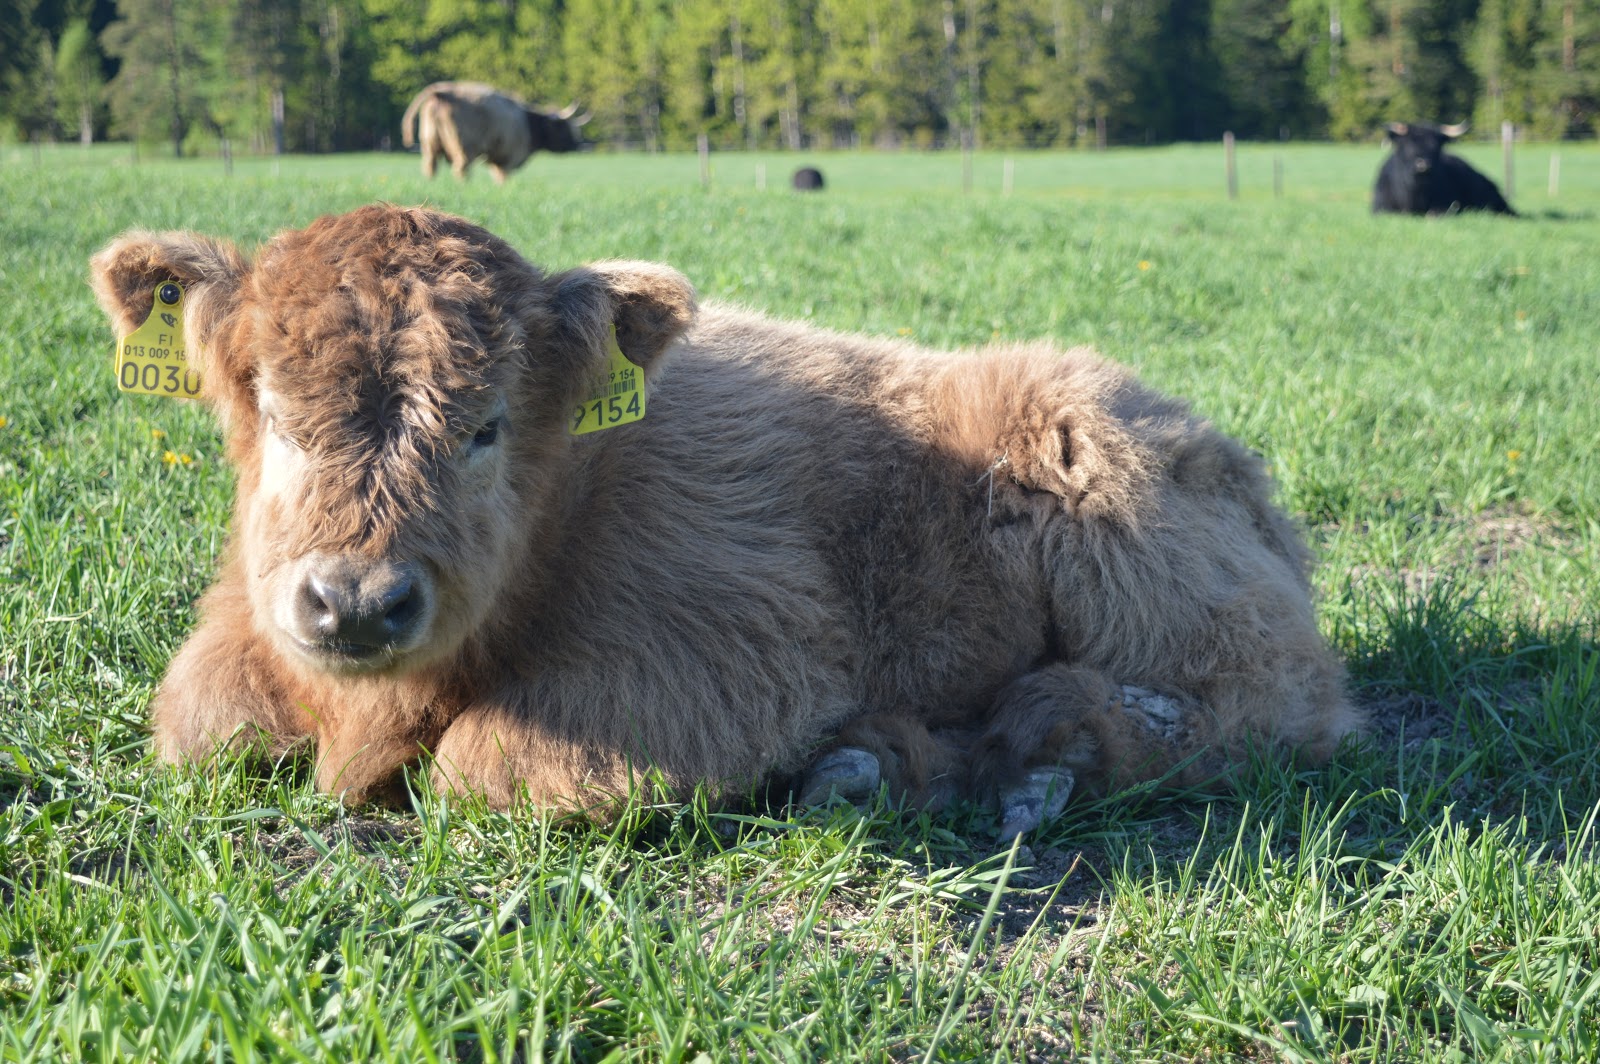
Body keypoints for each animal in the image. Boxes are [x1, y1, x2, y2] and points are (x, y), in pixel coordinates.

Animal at [89, 205, 1361, 836]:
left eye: (487, 424)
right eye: (271, 411)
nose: (355, 601)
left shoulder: (731, 647)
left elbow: (484, 764)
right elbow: (202, 717)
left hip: (1146, 556)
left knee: (1267, 709)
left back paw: (1042, 746)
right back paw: (880, 761)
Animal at [400, 82, 587, 184]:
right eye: (564, 127)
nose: (577, 145)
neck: (529, 123)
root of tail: (441, 92)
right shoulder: (508, 157)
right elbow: (502, 177)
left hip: (429, 144)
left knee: (430, 167)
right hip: (464, 147)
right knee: (461, 169)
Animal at [1373, 122, 1517, 216]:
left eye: (1435, 146)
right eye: (1408, 143)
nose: (1423, 164)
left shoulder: (1445, 206)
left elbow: (1433, 214)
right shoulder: (1380, 209)